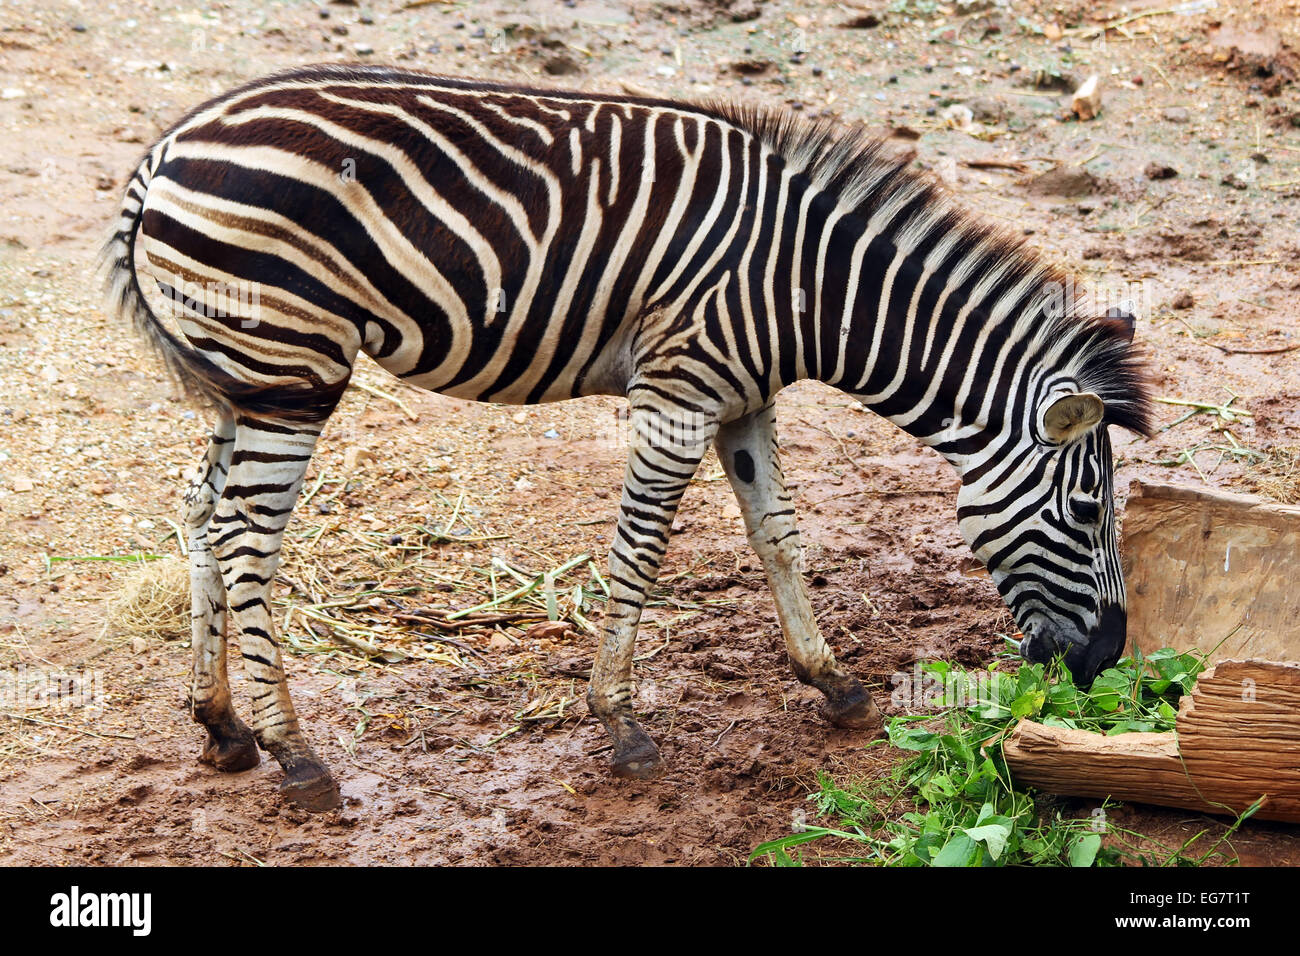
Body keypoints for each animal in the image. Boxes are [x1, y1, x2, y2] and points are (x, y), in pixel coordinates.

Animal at [100, 64, 1151, 812]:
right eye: (1088, 509)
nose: (1109, 658)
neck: (810, 288)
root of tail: (164, 154)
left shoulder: (743, 400)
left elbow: (779, 535)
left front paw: (833, 681)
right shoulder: (680, 391)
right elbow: (639, 552)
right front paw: (620, 724)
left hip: (242, 377)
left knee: (199, 513)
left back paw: (221, 725)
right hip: (292, 370)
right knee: (248, 538)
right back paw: (297, 754)